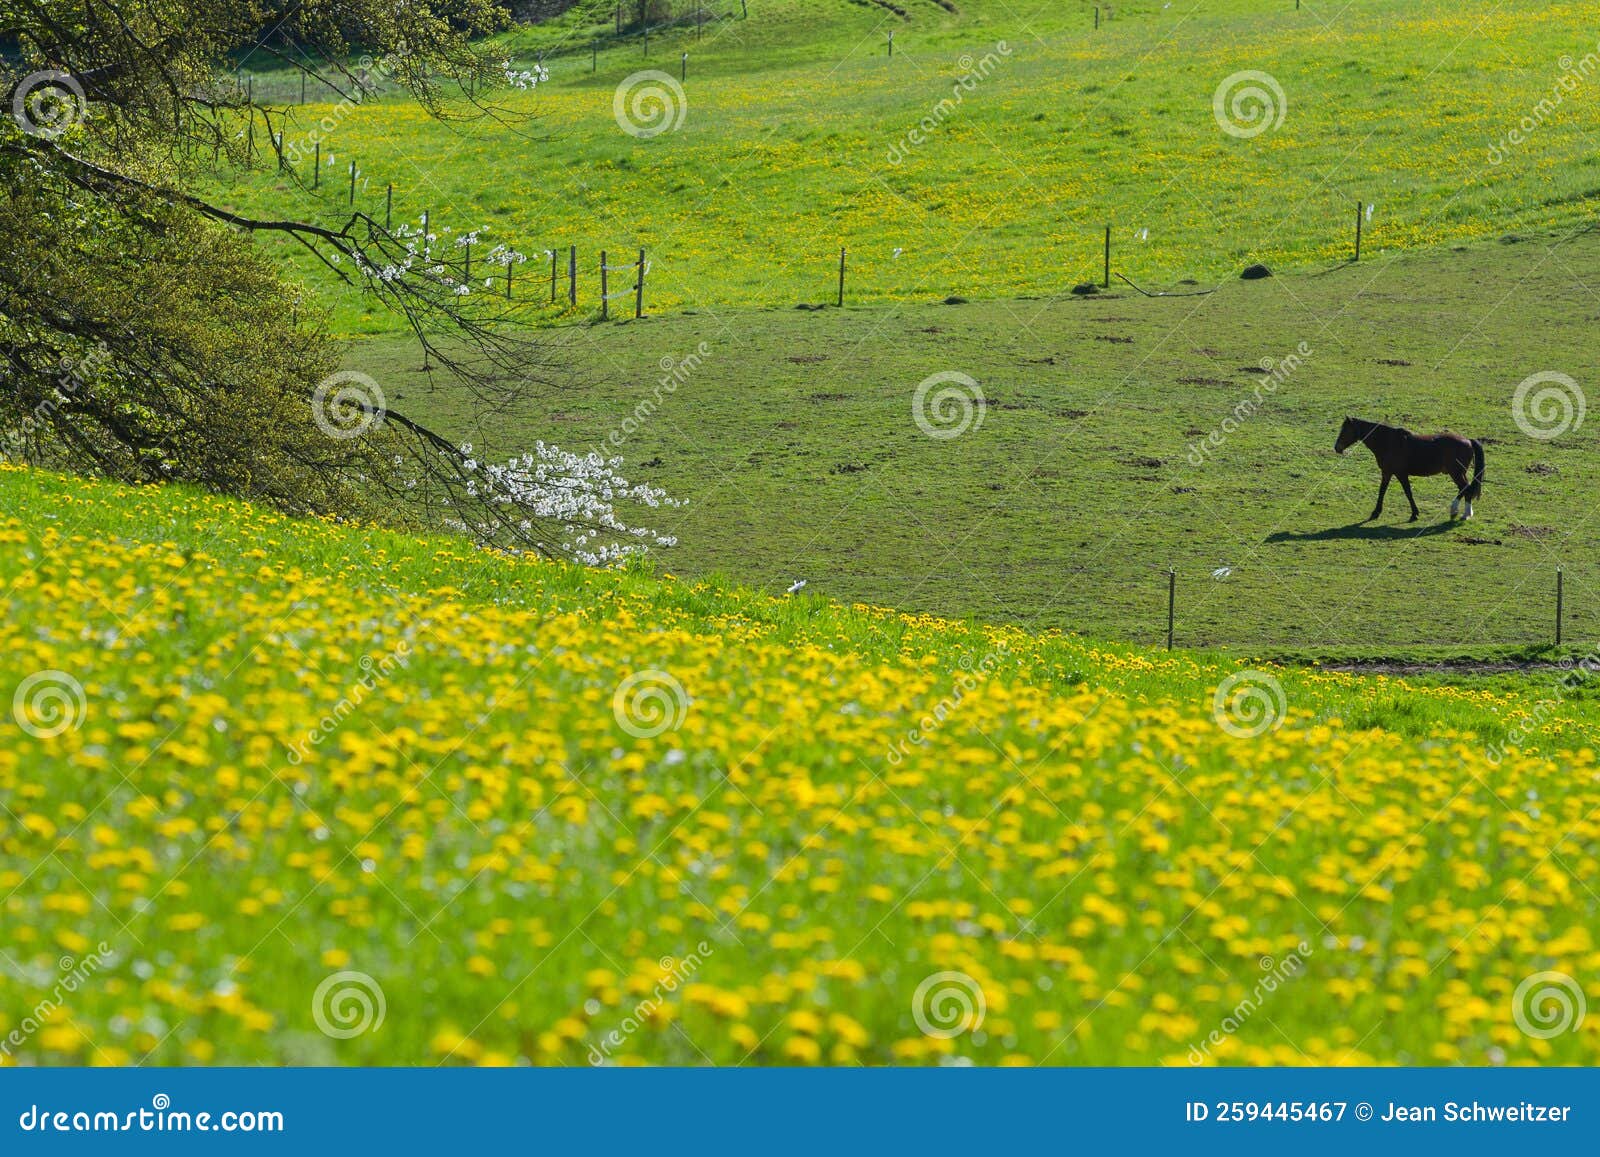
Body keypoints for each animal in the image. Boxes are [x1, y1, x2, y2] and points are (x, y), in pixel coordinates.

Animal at [1334, 416, 1485, 522]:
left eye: (1345, 430)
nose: (1336, 448)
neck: (1388, 442)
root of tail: (1468, 440)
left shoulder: (1400, 474)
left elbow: (1408, 492)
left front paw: (1414, 514)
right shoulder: (1387, 473)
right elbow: (1382, 491)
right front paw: (1376, 512)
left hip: (1456, 473)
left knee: (1466, 488)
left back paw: (1464, 513)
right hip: (1458, 473)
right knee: (1464, 488)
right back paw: (1456, 511)